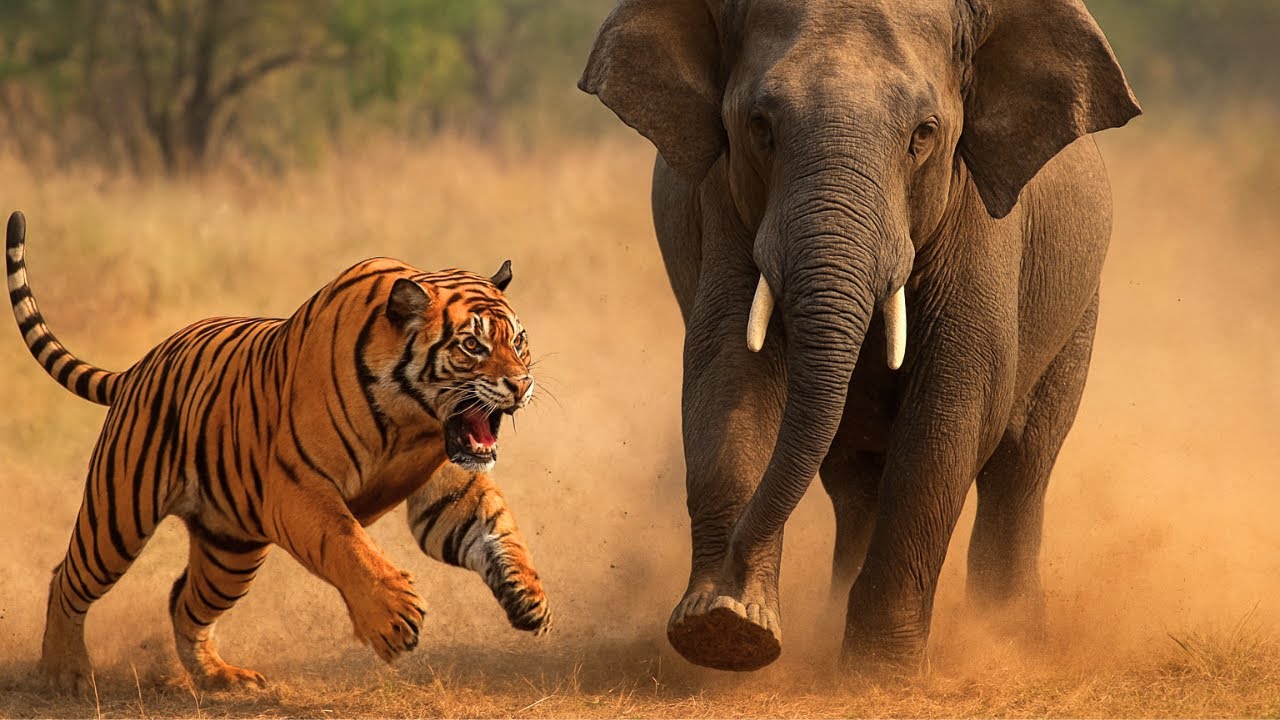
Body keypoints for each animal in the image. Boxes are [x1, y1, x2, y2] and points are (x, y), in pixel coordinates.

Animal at [6, 210, 552, 692]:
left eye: (519, 341)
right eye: (473, 346)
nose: (522, 384)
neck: (412, 418)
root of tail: (140, 365)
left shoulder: (446, 484)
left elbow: (496, 530)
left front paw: (530, 597)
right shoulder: (297, 487)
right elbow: (348, 544)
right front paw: (392, 616)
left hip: (230, 550)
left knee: (185, 602)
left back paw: (219, 677)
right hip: (118, 517)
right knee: (68, 579)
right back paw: (63, 672)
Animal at [579, 0, 1139, 671]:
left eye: (924, 134)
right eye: (760, 127)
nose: (732, 567)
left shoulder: (982, 212)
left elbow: (956, 402)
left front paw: (879, 672)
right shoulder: (725, 198)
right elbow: (728, 370)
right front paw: (727, 628)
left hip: (1079, 306)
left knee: (1023, 461)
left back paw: (1009, 640)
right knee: (853, 477)